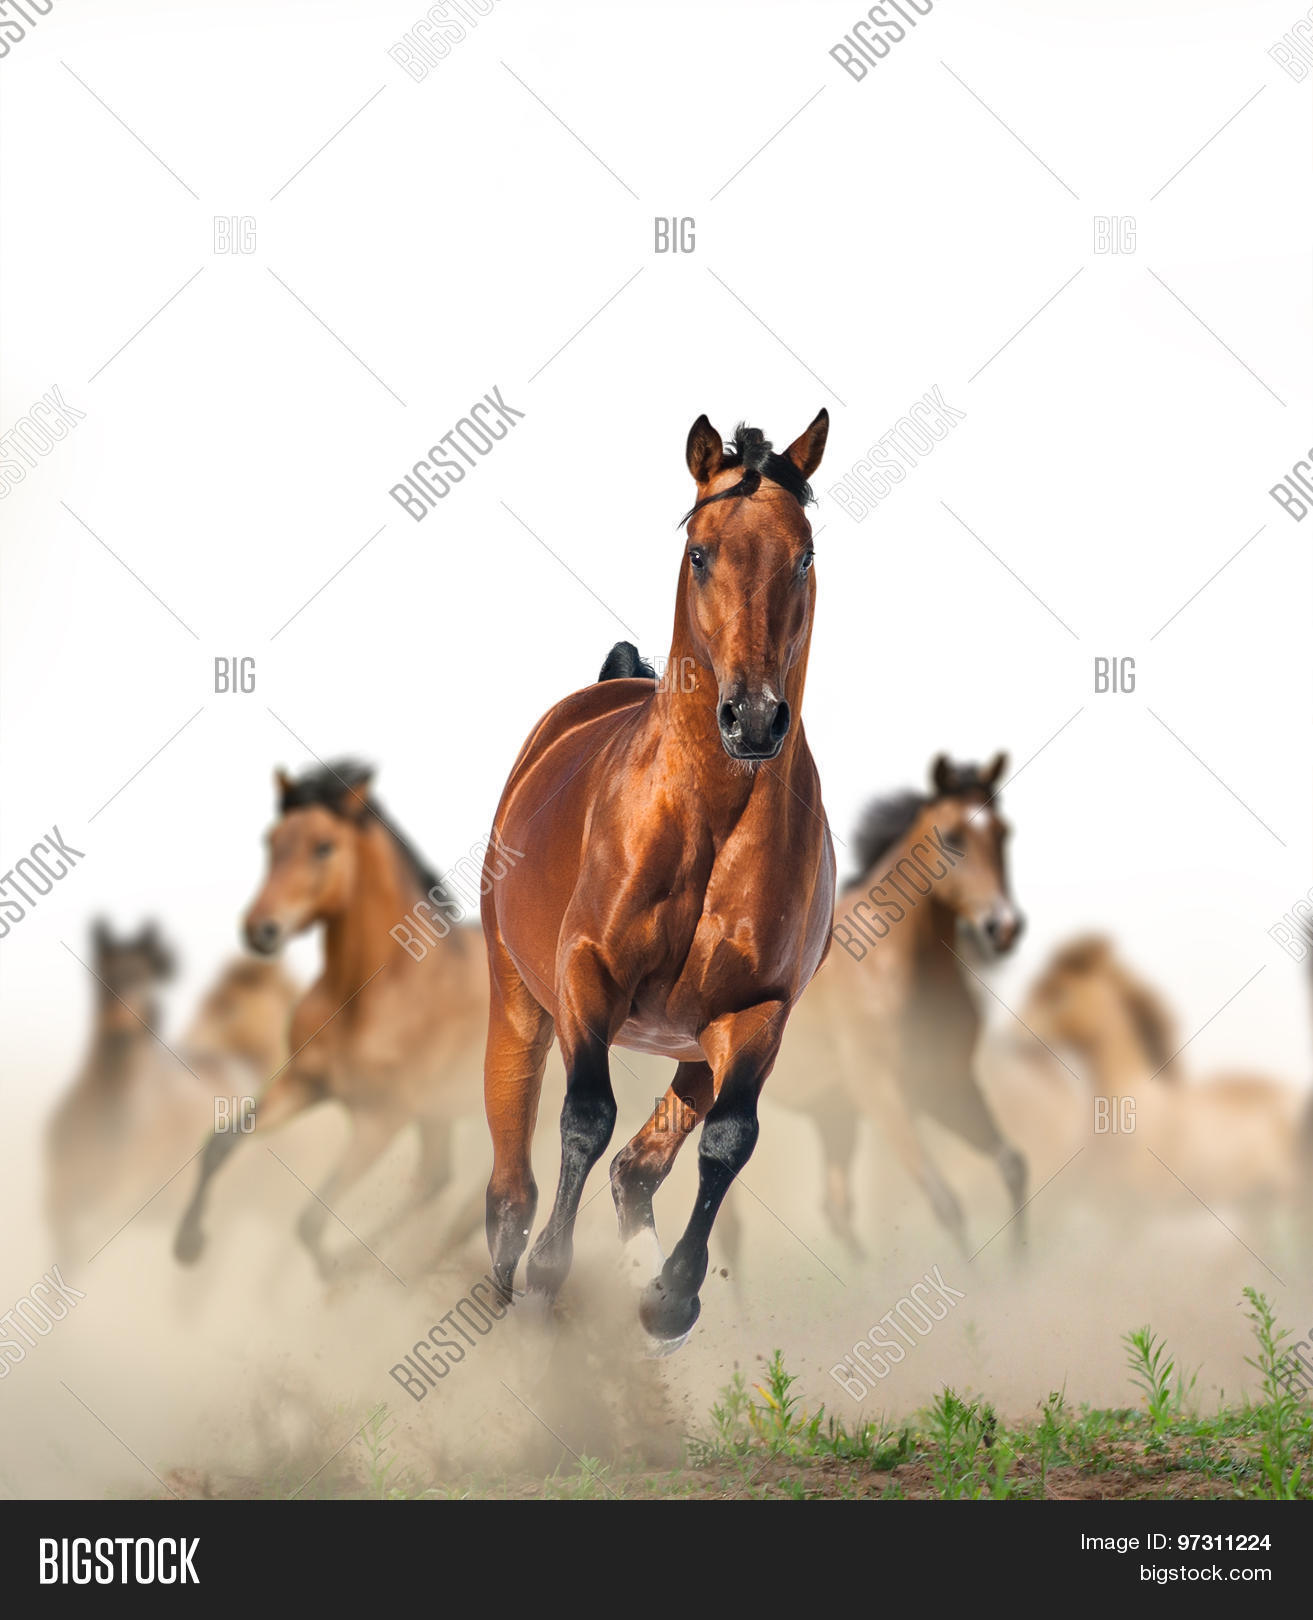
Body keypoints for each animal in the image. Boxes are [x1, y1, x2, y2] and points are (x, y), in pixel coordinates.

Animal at [173, 763, 490, 1277]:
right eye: (271, 840)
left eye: (324, 845)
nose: (260, 929)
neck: (371, 993)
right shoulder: (305, 1084)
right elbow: (220, 1143)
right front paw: (188, 1243)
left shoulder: (383, 1119)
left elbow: (310, 1222)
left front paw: (336, 1274)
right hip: (437, 1115)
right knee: (437, 1180)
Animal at [479, 409, 836, 1350]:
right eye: (700, 552)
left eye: (803, 555)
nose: (753, 718)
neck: (705, 816)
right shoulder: (585, 978)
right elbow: (585, 1116)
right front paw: (551, 1273)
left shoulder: (756, 1011)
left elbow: (727, 1142)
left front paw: (670, 1299)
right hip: (518, 1002)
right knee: (509, 1186)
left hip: (693, 1047)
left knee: (641, 1167)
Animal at [737, 753, 1028, 1263]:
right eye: (953, 836)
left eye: (1004, 831)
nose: (1004, 926)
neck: (890, 963)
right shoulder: (882, 1088)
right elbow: (945, 1202)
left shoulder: (946, 1083)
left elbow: (1011, 1166)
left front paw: (1022, 1271)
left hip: (833, 1115)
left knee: (835, 1209)